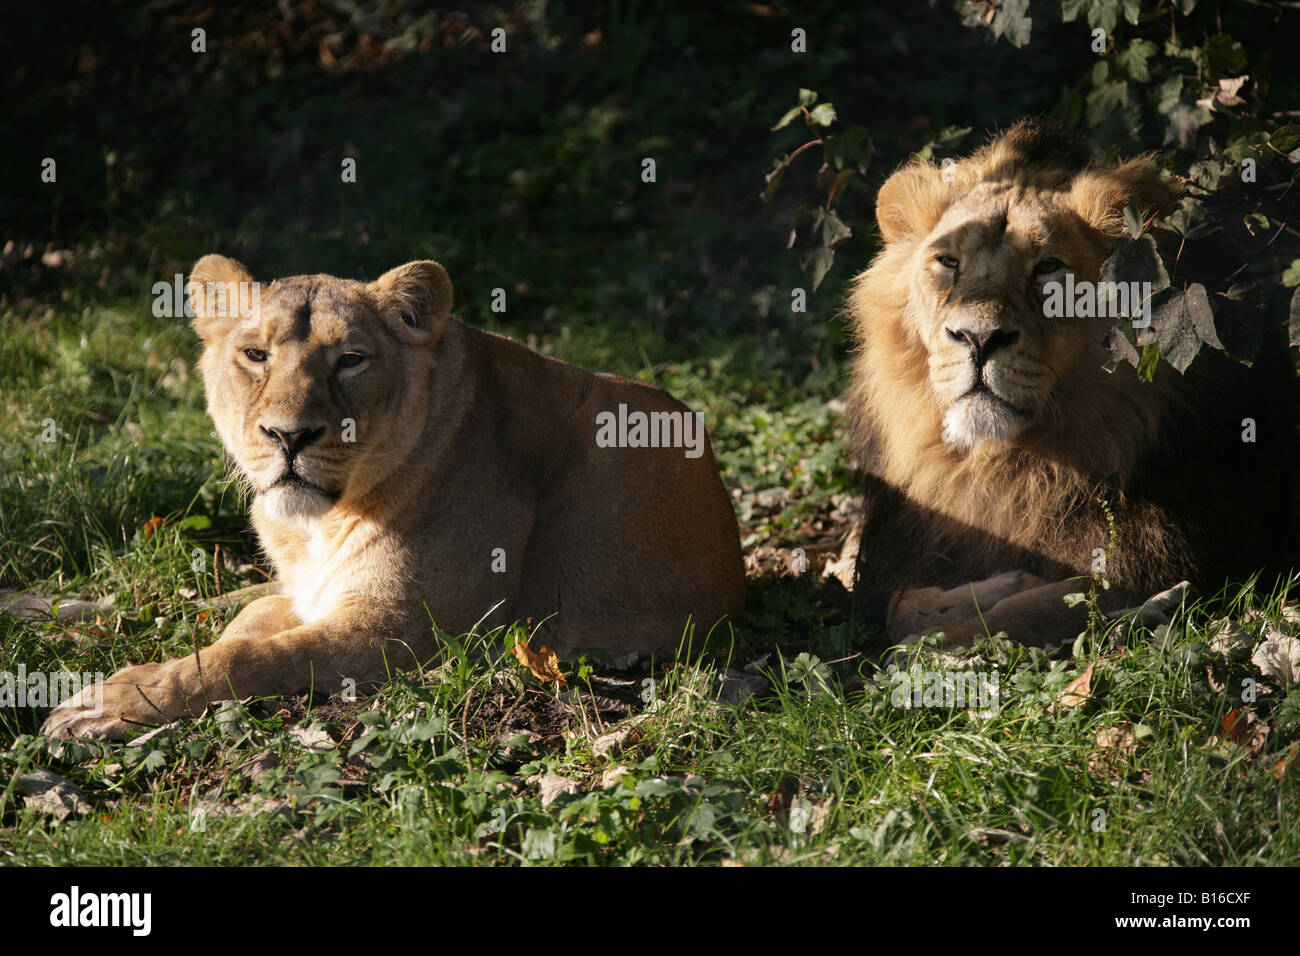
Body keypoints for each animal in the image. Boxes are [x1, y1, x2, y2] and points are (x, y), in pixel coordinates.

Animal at [43, 256, 745, 738]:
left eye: (351, 359)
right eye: (255, 354)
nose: (287, 436)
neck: (319, 524)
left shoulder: (410, 630)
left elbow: (248, 655)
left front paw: (109, 702)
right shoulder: (314, 596)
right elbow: (242, 623)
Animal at [847, 120, 1296, 651]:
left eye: (1048, 267)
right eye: (948, 262)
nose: (978, 339)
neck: (1016, 470)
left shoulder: (1172, 568)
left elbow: (1029, 609)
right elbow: (899, 609)